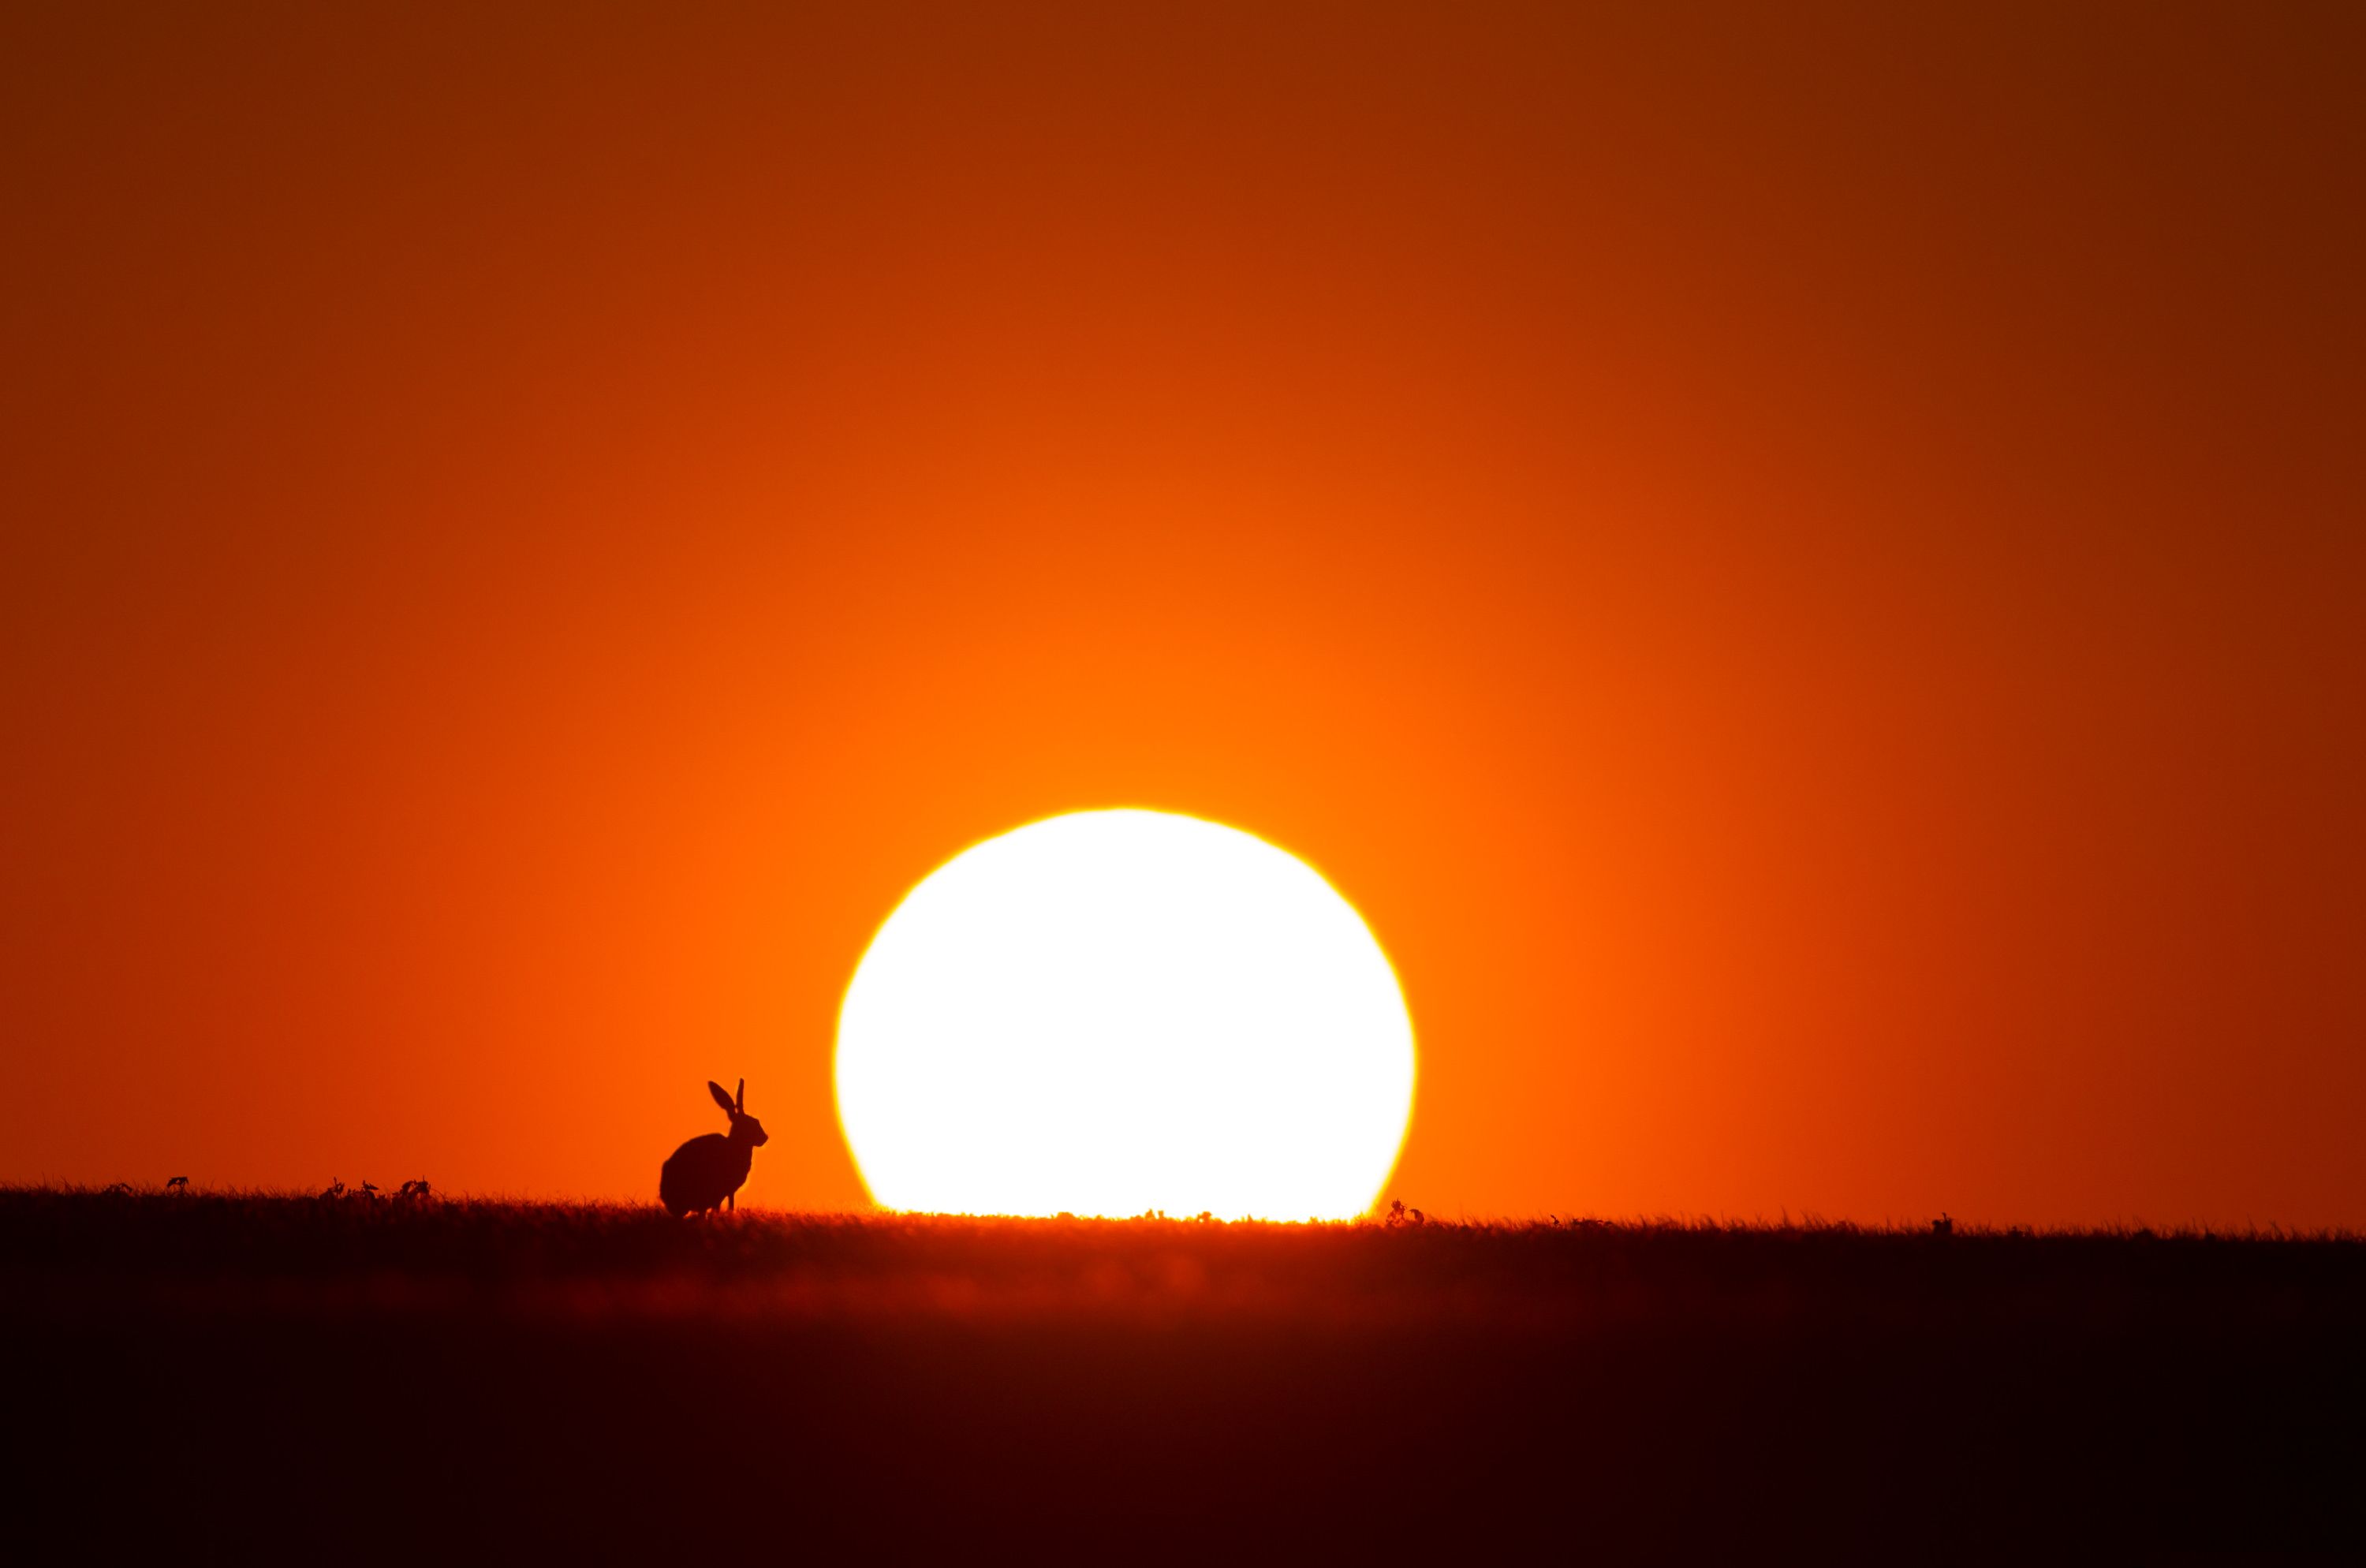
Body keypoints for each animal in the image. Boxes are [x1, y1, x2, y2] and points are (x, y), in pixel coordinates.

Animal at [659, 1078, 769, 1217]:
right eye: (752, 1123)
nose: (765, 1137)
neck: (735, 1144)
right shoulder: (727, 1191)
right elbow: (729, 1205)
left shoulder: (728, 1192)